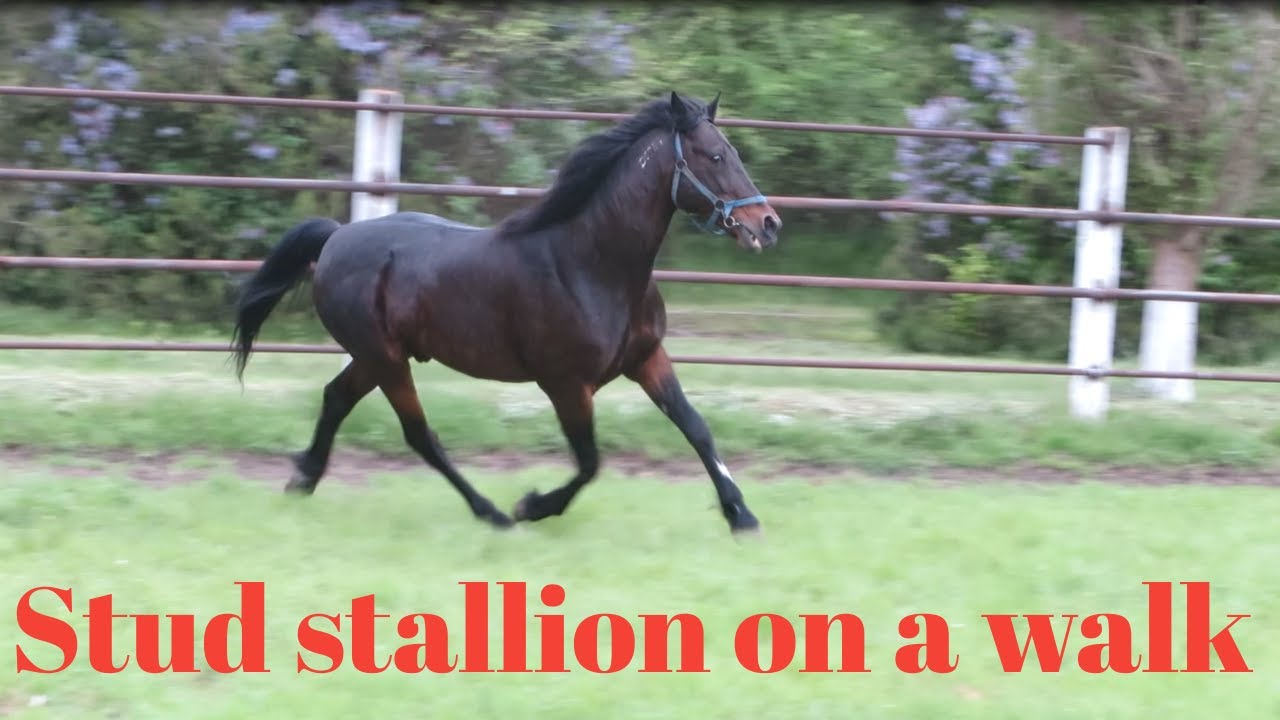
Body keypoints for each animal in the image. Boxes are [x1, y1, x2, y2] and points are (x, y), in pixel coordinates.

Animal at [230, 91, 782, 534]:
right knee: (419, 435)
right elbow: (590, 461)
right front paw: (531, 506)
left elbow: (696, 428)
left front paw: (742, 515)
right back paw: (492, 513)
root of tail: (336, 237)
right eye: (714, 156)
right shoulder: (566, 384)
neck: (592, 265)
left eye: (733, 152)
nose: (768, 223)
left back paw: (303, 479)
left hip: (374, 357)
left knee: (336, 399)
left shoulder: (647, 359)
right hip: (385, 358)